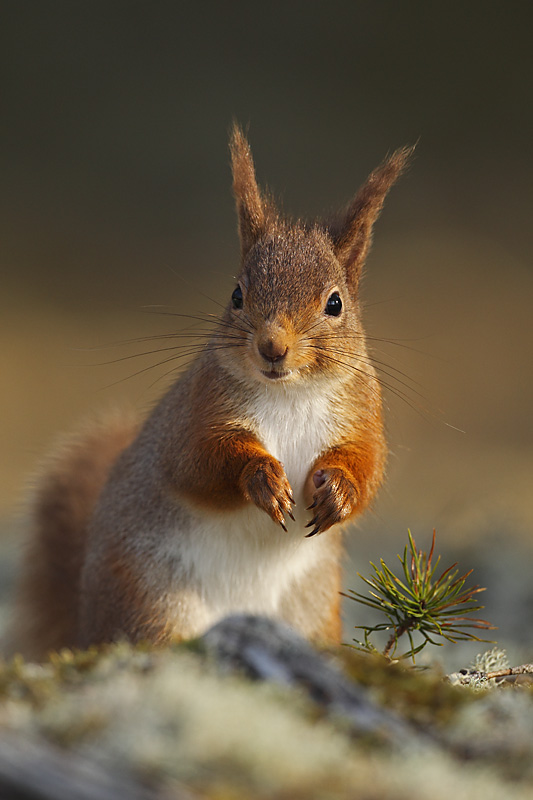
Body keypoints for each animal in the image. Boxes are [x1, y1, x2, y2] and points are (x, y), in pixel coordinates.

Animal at [9, 126, 412, 660]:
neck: (289, 394)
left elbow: (368, 468)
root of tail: (87, 623)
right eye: (237, 295)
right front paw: (262, 477)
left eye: (335, 303)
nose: (272, 346)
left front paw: (340, 492)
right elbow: (199, 463)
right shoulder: (196, 413)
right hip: (153, 600)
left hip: (309, 609)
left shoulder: (361, 414)